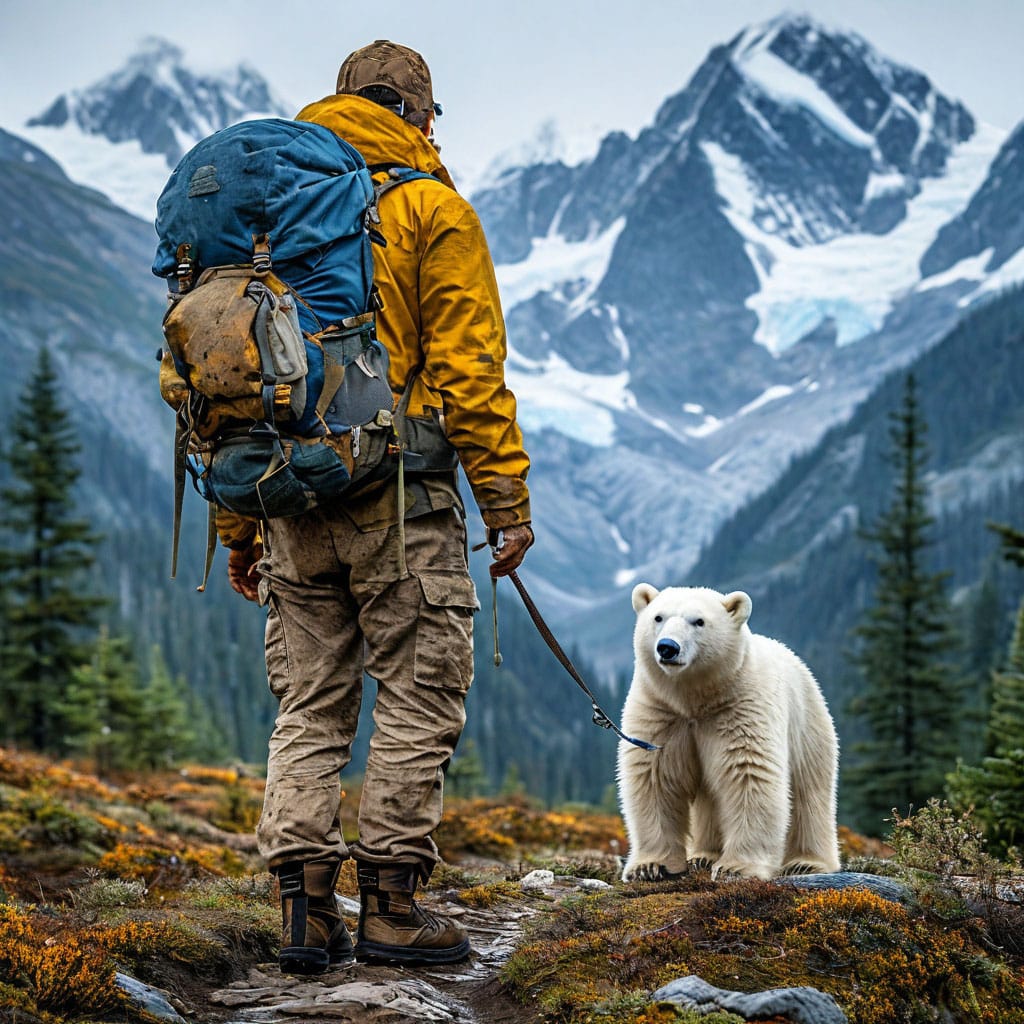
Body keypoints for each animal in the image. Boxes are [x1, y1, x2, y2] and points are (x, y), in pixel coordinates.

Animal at [614, 585, 839, 880]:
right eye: (658, 617)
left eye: (699, 621)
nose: (667, 647)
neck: (695, 700)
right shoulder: (660, 712)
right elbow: (654, 776)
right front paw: (650, 866)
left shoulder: (740, 707)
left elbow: (748, 772)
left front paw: (736, 867)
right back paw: (703, 856)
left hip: (807, 720)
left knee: (810, 790)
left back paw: (807, 862)